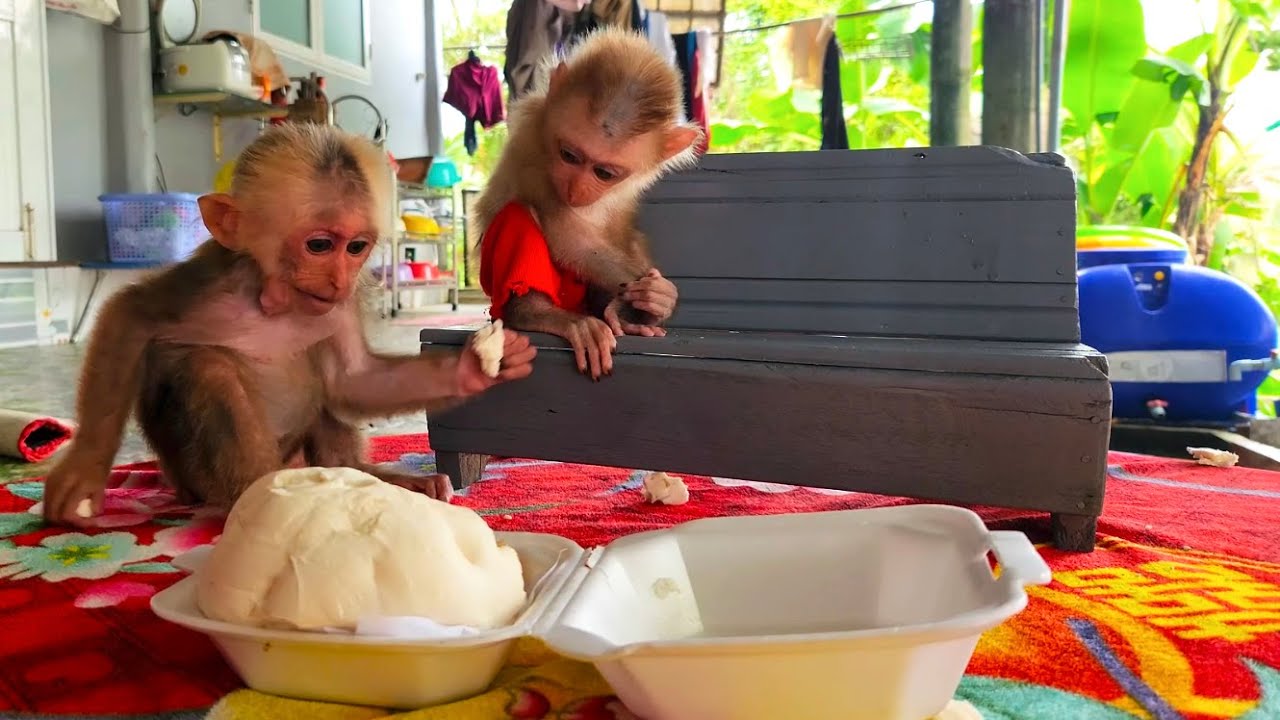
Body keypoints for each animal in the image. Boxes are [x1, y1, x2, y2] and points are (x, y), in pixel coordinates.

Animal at [41, 123, 538, 527]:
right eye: (319, 245)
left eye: (356, 247)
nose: (340, 278)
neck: (274, 301)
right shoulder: (213, 281)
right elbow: (132, 315)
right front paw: (83, 471)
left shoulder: (337, 308)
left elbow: (353, 379)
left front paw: (473, 367)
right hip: (194, 478)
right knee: (206, 367)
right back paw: (262, 493)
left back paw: (370, 478)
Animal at [470, 27, 703, 380]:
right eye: (569, 155)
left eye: (604, 173)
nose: (577, 188)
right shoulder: (536, 151)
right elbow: (564, 231)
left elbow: (622, 231)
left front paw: (655, 299)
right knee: (519, 213)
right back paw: (536, 312)